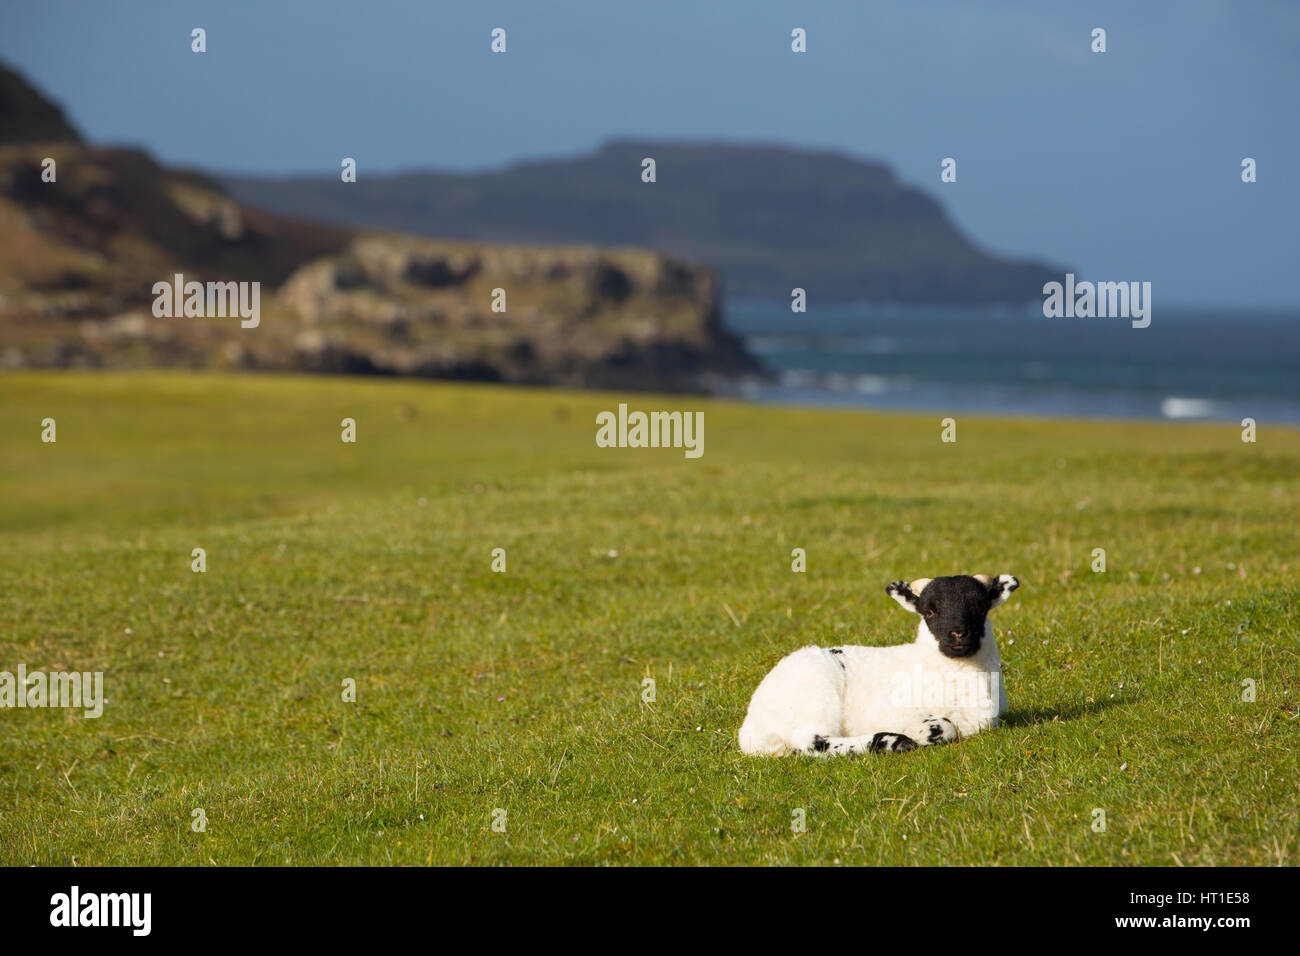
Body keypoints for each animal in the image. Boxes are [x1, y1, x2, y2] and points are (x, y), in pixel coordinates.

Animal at [737, 574, 1019, 756]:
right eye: (928, 612)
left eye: (980, 607)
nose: (958, 634)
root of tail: (751, 727)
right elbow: (945, 725)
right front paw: (916, 734)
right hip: (814, 697)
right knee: (812, 742)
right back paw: (891, 741)